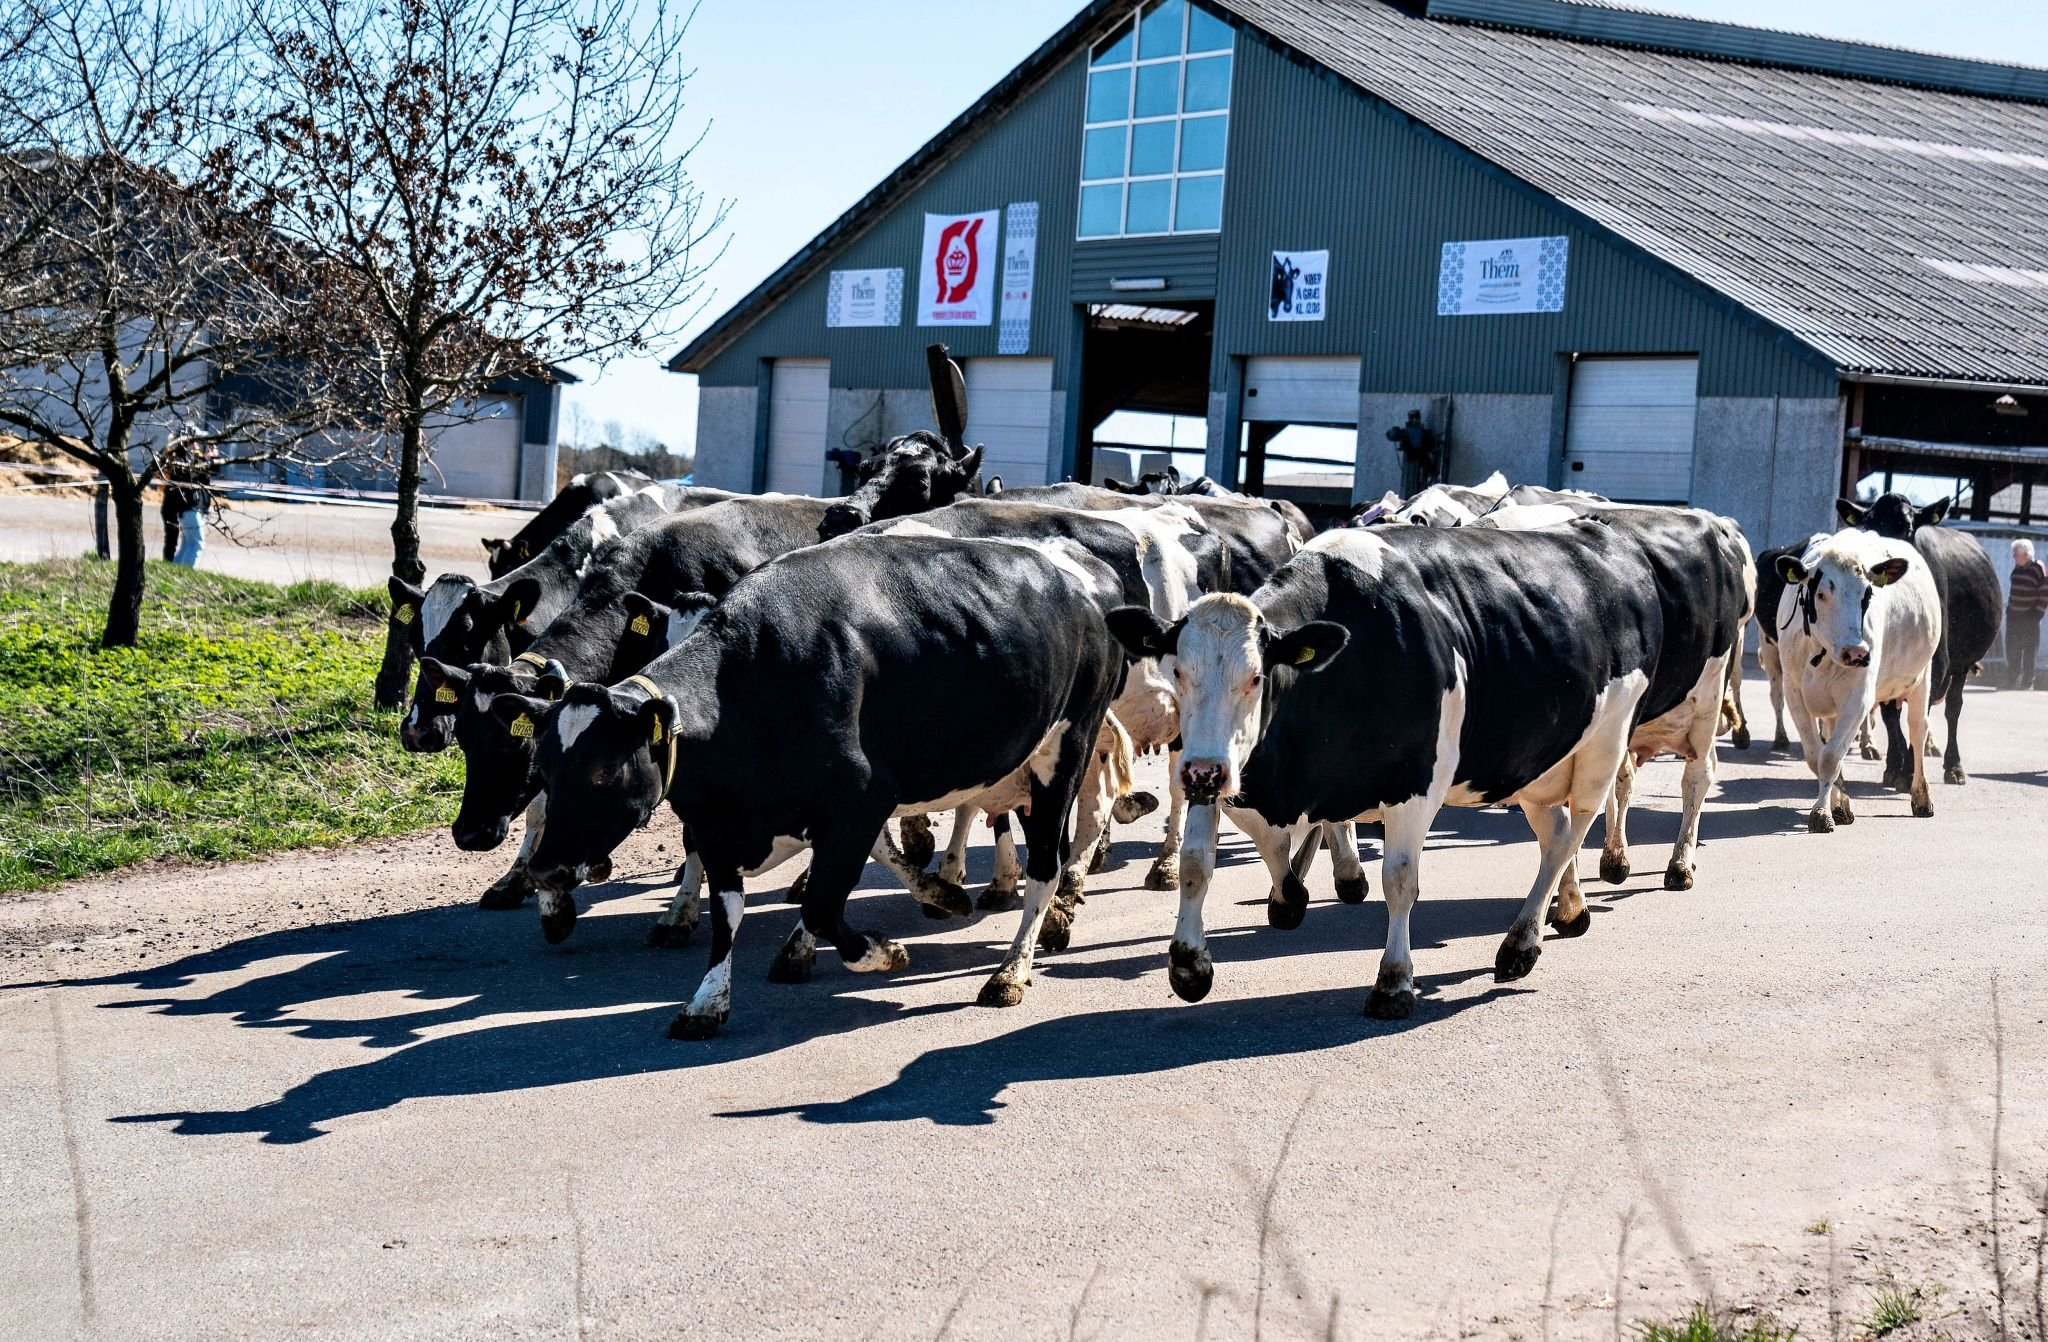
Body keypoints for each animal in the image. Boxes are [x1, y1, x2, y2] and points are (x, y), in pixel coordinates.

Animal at [512, 532, 1130, 1039]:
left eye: (602, 771)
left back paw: (1012, 971)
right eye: (544, 768)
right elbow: (727, 916)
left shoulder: (861, 799)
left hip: (1067, 749)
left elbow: (822, 906)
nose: (543, 870)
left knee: (1048, 862)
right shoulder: (719, 827)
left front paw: (883, 953)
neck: (746, 690)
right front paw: (707, 1002)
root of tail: (1081, 564)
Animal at [1107, 521, 1665, 1018]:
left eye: (1257, 677)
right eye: (1178, 670)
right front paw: (1193, 963)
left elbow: (1399, 880)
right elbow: (1198, 865)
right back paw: (1567, 911)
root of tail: (1603, 533)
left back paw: (1520, 945)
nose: (1203, 771)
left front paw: (1394, 983)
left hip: (1603, 746)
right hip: (1530, 766)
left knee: (1576, 830)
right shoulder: (1226, 775)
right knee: (1555, 834)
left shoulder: (1414, 784)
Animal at [1773, 529, 1942, 832]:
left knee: (1918, 730)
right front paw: (1838, 804)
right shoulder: (1793, 692)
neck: (1822, 654)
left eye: (1868, 593)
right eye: (1821, 593)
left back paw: (1921, 796)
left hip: (1922, 676)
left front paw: (1821, 813)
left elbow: (1830, 757)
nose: (1856, 651)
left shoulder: (1859, 697)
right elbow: (1817, 755)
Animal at [1839, 494, 2003, 787]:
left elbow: (1918, 715)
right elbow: (1890, 715)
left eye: (1906, 528)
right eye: (1869, 527)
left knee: (1953, 708)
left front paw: (1909, 771)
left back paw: (1953, 766)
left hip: (1961, 665)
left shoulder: (1936, 665)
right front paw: (1896, 766)